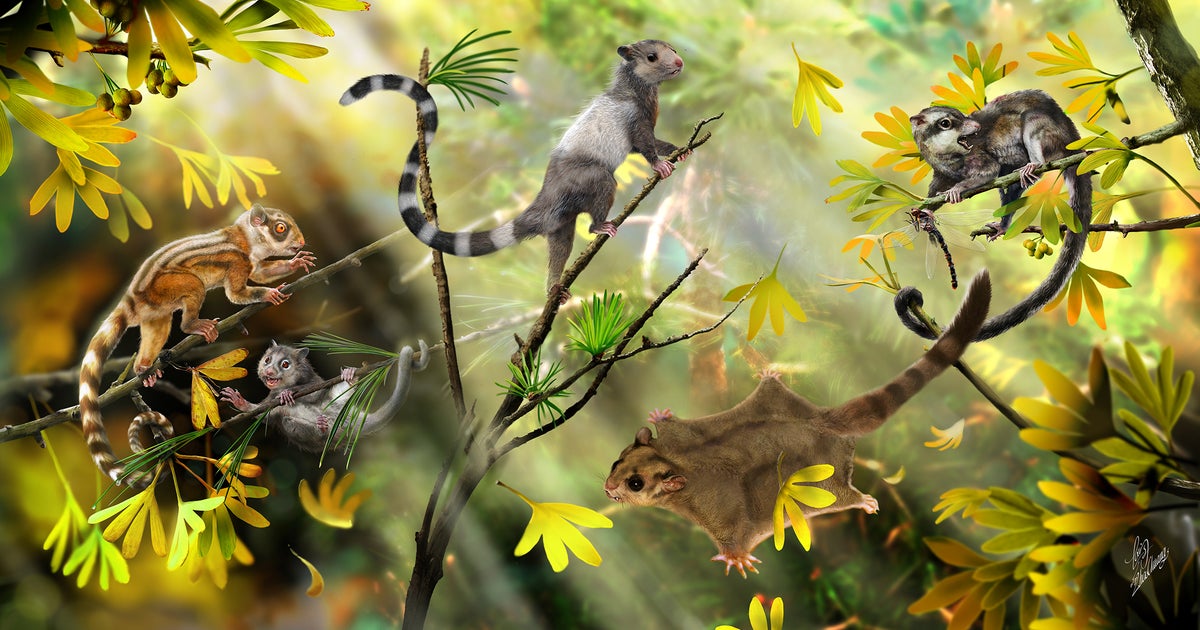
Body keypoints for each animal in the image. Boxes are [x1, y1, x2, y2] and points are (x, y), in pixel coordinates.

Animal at [78, 204, 314, 486]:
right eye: (281, 228)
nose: (301, 242)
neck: (246, 241)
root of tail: (132, 297)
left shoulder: (253, 263)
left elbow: (260, 273)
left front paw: (295, 262)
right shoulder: (237, 261)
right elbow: (237, 294)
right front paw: (269, 294)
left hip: (155, 311)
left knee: (158, 329)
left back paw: (144, 368)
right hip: (167, 286)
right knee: (194, 287)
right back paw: (193, 326)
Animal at [219, 340, 430, 452]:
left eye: (285, 364)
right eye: (267, 359)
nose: (269, 372)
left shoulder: (314, 381)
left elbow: (314, 391)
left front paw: (289, 393)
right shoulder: (271, 400)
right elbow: (265, 416)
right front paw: (239, 401)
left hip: (337, 400)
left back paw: (349, 378)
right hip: (300, 430)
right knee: (294, 425)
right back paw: (322, 426)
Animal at [339, 39, 689, 302]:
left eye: (671, 47)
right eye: (652, 56)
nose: (680, 62)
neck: (635, 90)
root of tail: (546, 198)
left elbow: (654, 142)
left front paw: (677, 149)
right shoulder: (635, 120)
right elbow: (643, 145)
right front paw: (660, 164)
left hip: (561, 225)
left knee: (560, 249)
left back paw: (554, 289)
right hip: (589, 180)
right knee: (602, 189)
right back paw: (599, 227)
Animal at [604, 271, 992, 577]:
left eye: (636, 484)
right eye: (615, 463)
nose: (608, 489)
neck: (674, 461)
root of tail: (821, 421)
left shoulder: (718, 509)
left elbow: (736, 533)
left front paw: (736, 558)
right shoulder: (681, 435)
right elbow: (673, 425)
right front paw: (659, 418)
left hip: (825, 484)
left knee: (842, 495)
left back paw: (862, 500)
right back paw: (770, 377)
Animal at [898, 89, 1091, 341]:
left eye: (962, 116)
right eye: (946, 123)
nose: (976, 126)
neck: (950, 158)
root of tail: (1072, 140)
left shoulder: (978, 155)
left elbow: (988, 171)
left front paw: (956, 190)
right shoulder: (941, 171)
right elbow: (935, 191)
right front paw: (925, 212)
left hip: (1049, 133)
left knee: (1031, 125)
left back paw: (1034, 165)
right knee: (1010, 184)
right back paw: (1003, 224)